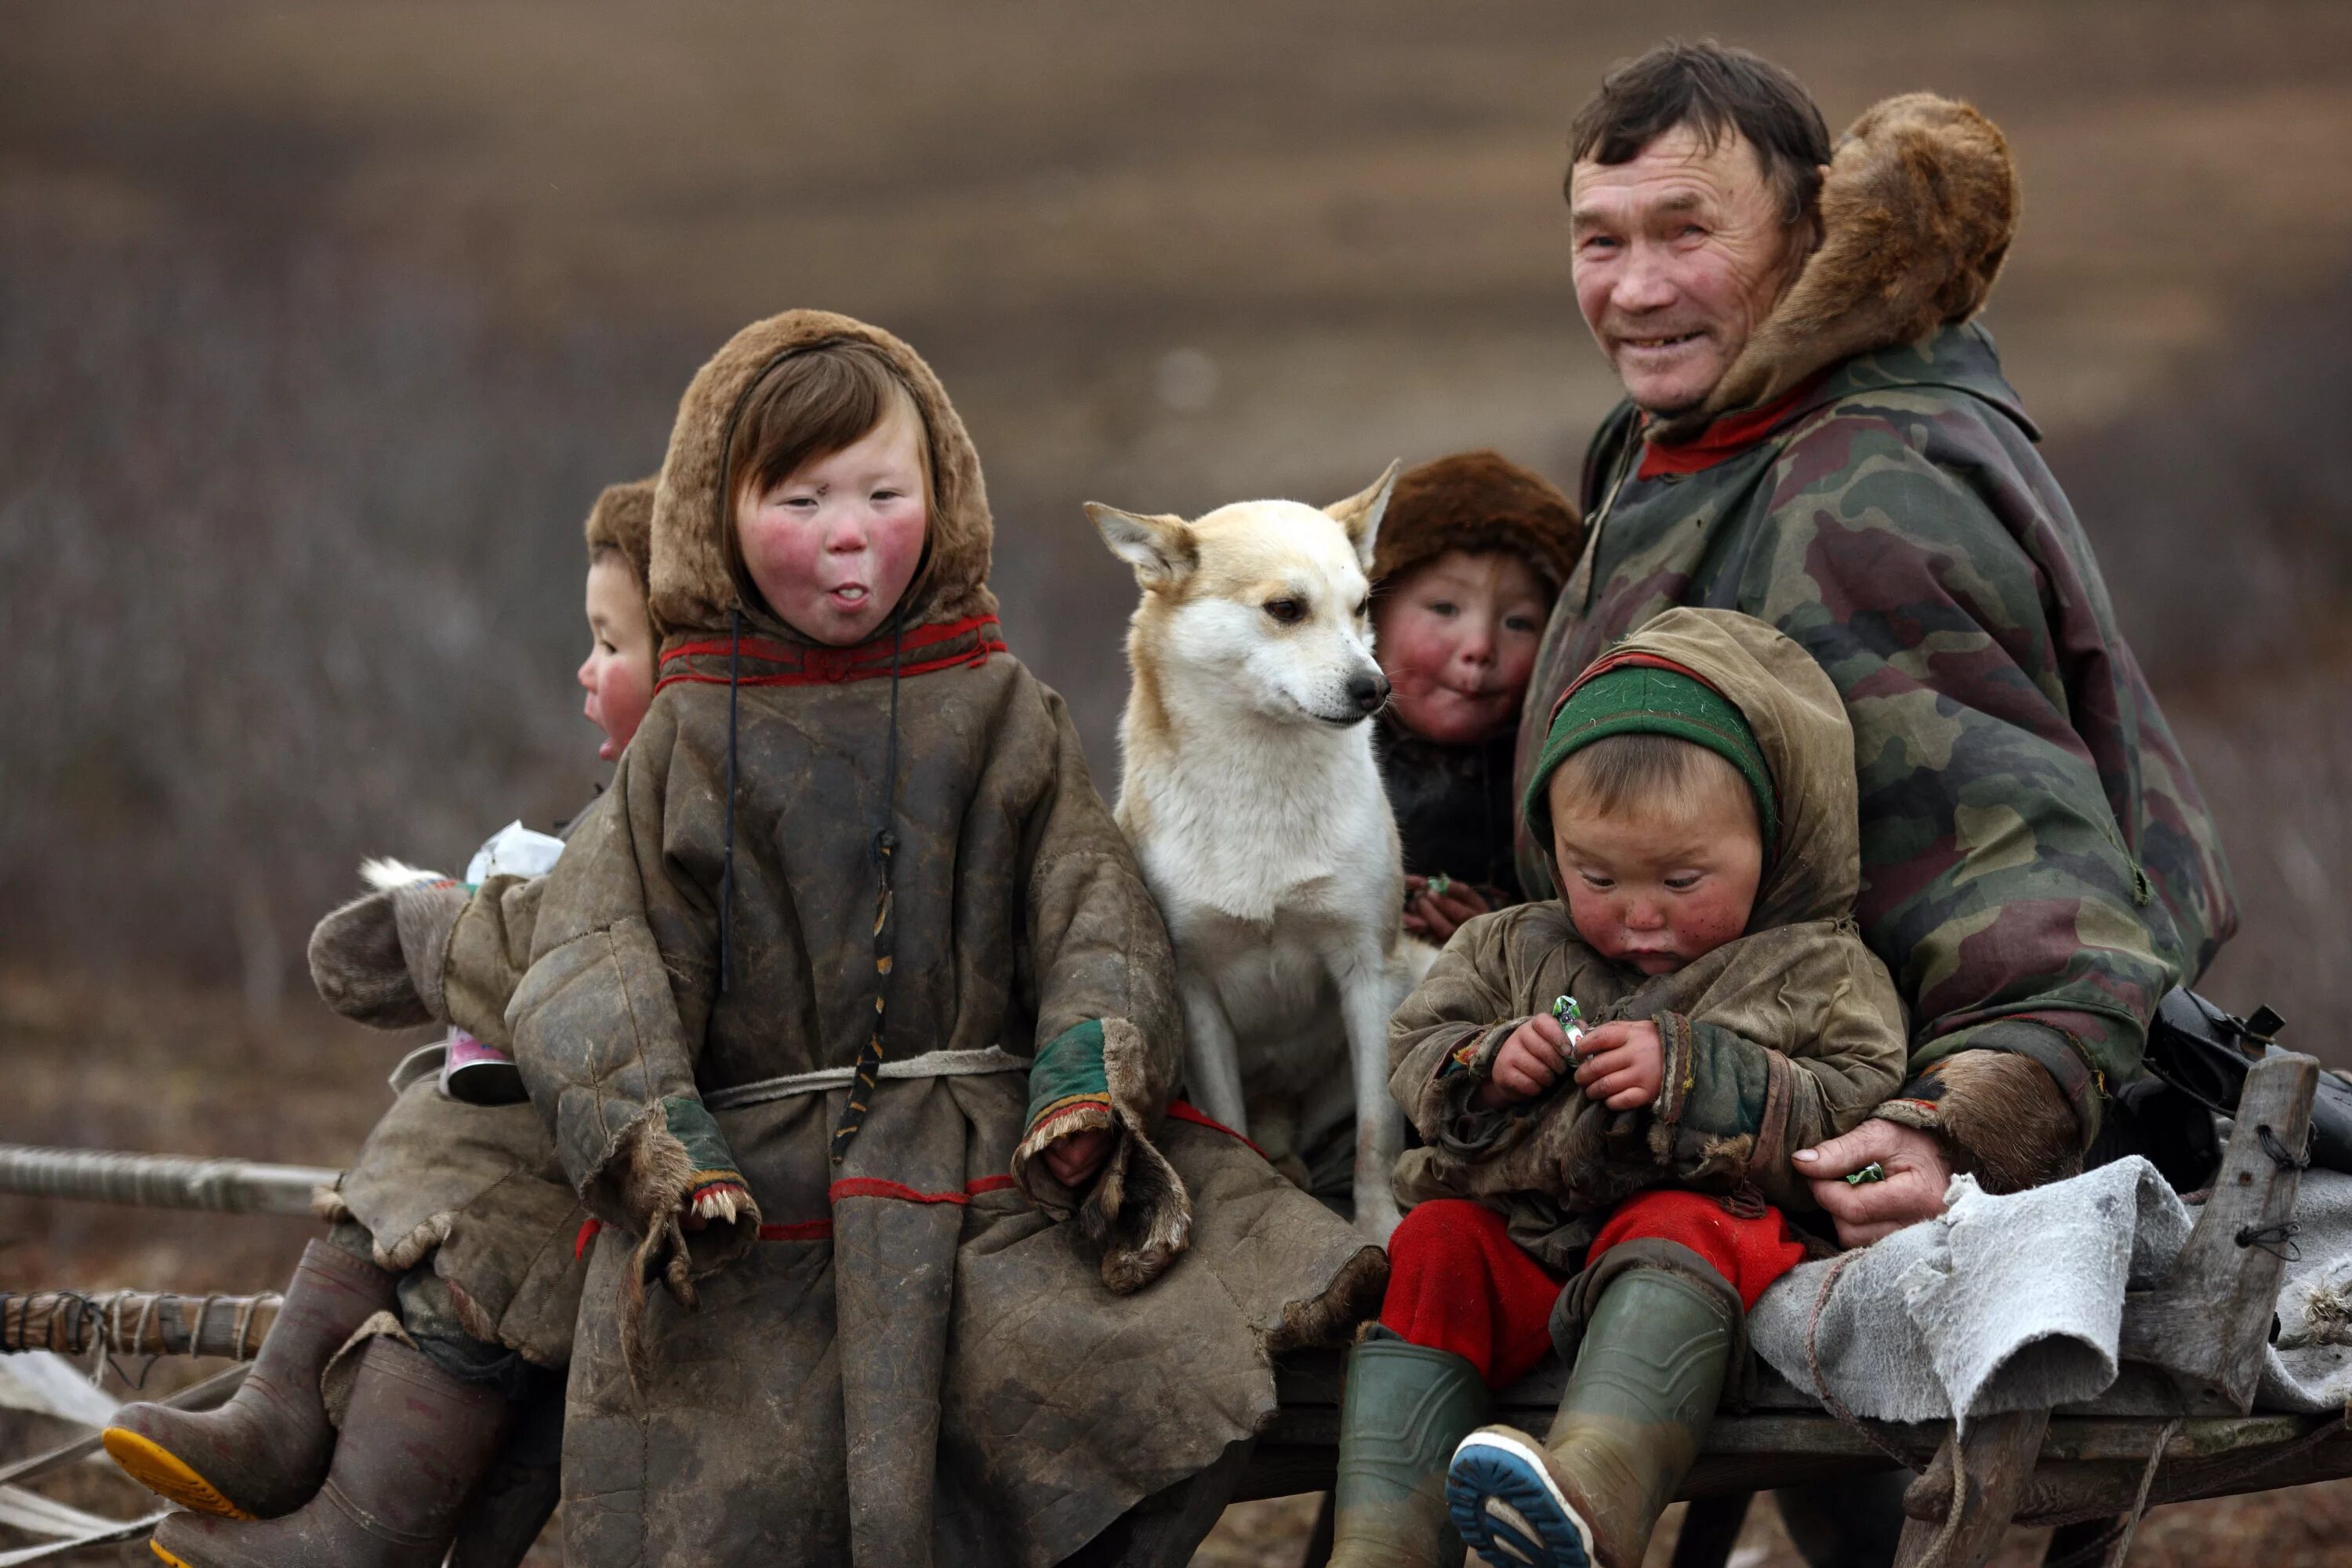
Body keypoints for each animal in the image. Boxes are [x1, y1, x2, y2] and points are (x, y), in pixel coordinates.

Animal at [1082, 460, 1411, 1241]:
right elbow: (1228, 1123)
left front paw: (1378, 1227)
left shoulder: (1370, 972)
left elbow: (1377, 1129)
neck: (1262, 779)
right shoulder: (1195, 989)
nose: (1376, 688)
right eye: (1286, 609)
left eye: (1360, 607)